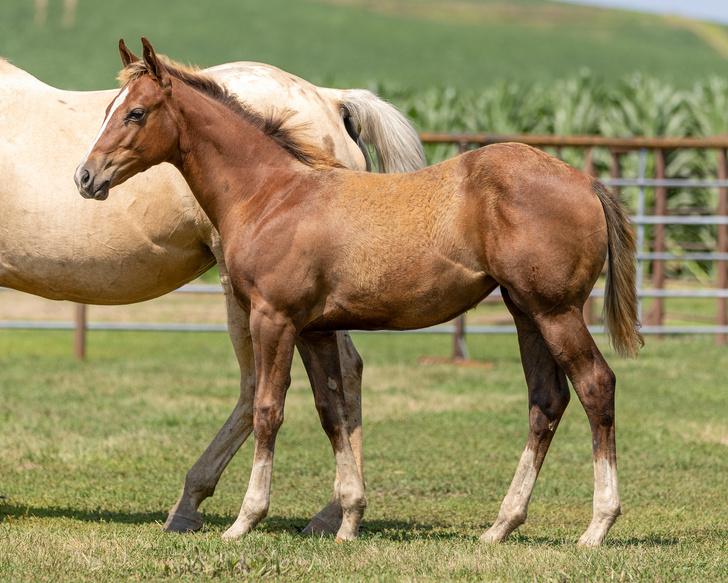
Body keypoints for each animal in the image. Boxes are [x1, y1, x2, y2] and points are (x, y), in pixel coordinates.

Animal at [0, 42, 426, 535]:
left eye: (136, 113)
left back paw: (203, 504)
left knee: (264, 388)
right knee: (341, 377)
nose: (84, 177)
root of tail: (332, 99)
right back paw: (332, 512)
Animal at [76, 38, 642, 546]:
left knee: (596, 387)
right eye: (107, 110)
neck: (271, 196)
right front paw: (347, 521)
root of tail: (587, 183)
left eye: (136, 113)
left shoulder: (274, 318)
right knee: (546, 401)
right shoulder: (314, 329)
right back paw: (501, 526)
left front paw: (245, 521)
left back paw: (597, 526)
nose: (85, 177)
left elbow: (267, 410)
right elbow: (332, 412)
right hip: (525, 311)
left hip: (556, 311)